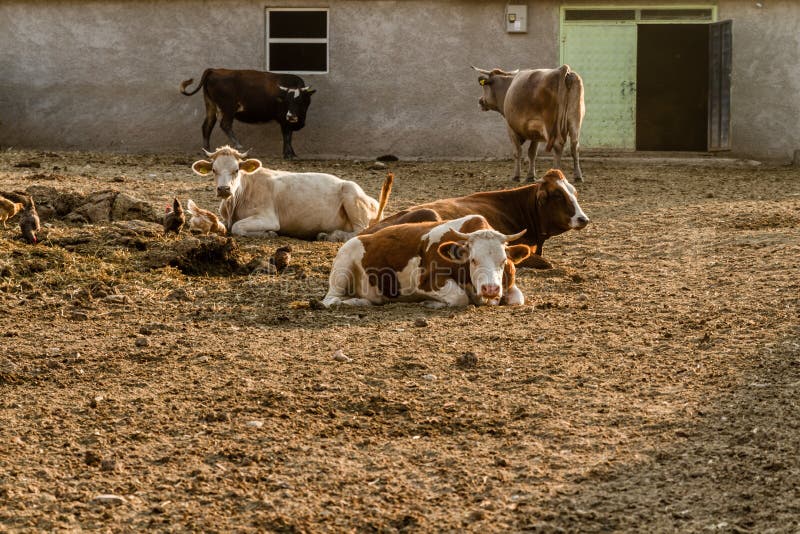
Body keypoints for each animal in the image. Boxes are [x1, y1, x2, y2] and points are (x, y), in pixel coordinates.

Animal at [180, 68, 316, 159]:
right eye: (286, 101)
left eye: (300, 101)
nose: (291, 115)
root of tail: (215, 70)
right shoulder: (283, 118)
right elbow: (287, 135)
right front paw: (288, 154)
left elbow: (289, 135)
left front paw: (291, 153)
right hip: (228, 108)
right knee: (225, 125)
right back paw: (239, 146)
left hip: (211, 106)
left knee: (207, 126)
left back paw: (207, 151)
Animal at [191, 146, 393, 241]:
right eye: (214, 170)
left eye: (236, 170)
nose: (224, 189)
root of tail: (373, 201)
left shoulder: (269, 217)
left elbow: (237, 227)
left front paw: (268, 234)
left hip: (351, 194)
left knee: (361, 230)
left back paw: (331, 235)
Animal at [322, 215, 532, 308]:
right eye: (473, 260)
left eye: (503, 261)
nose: (491, 289)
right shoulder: (426, 282)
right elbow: (459, 297)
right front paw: (431, 303)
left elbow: (517, 299)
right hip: (342, 267)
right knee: (330, 300)